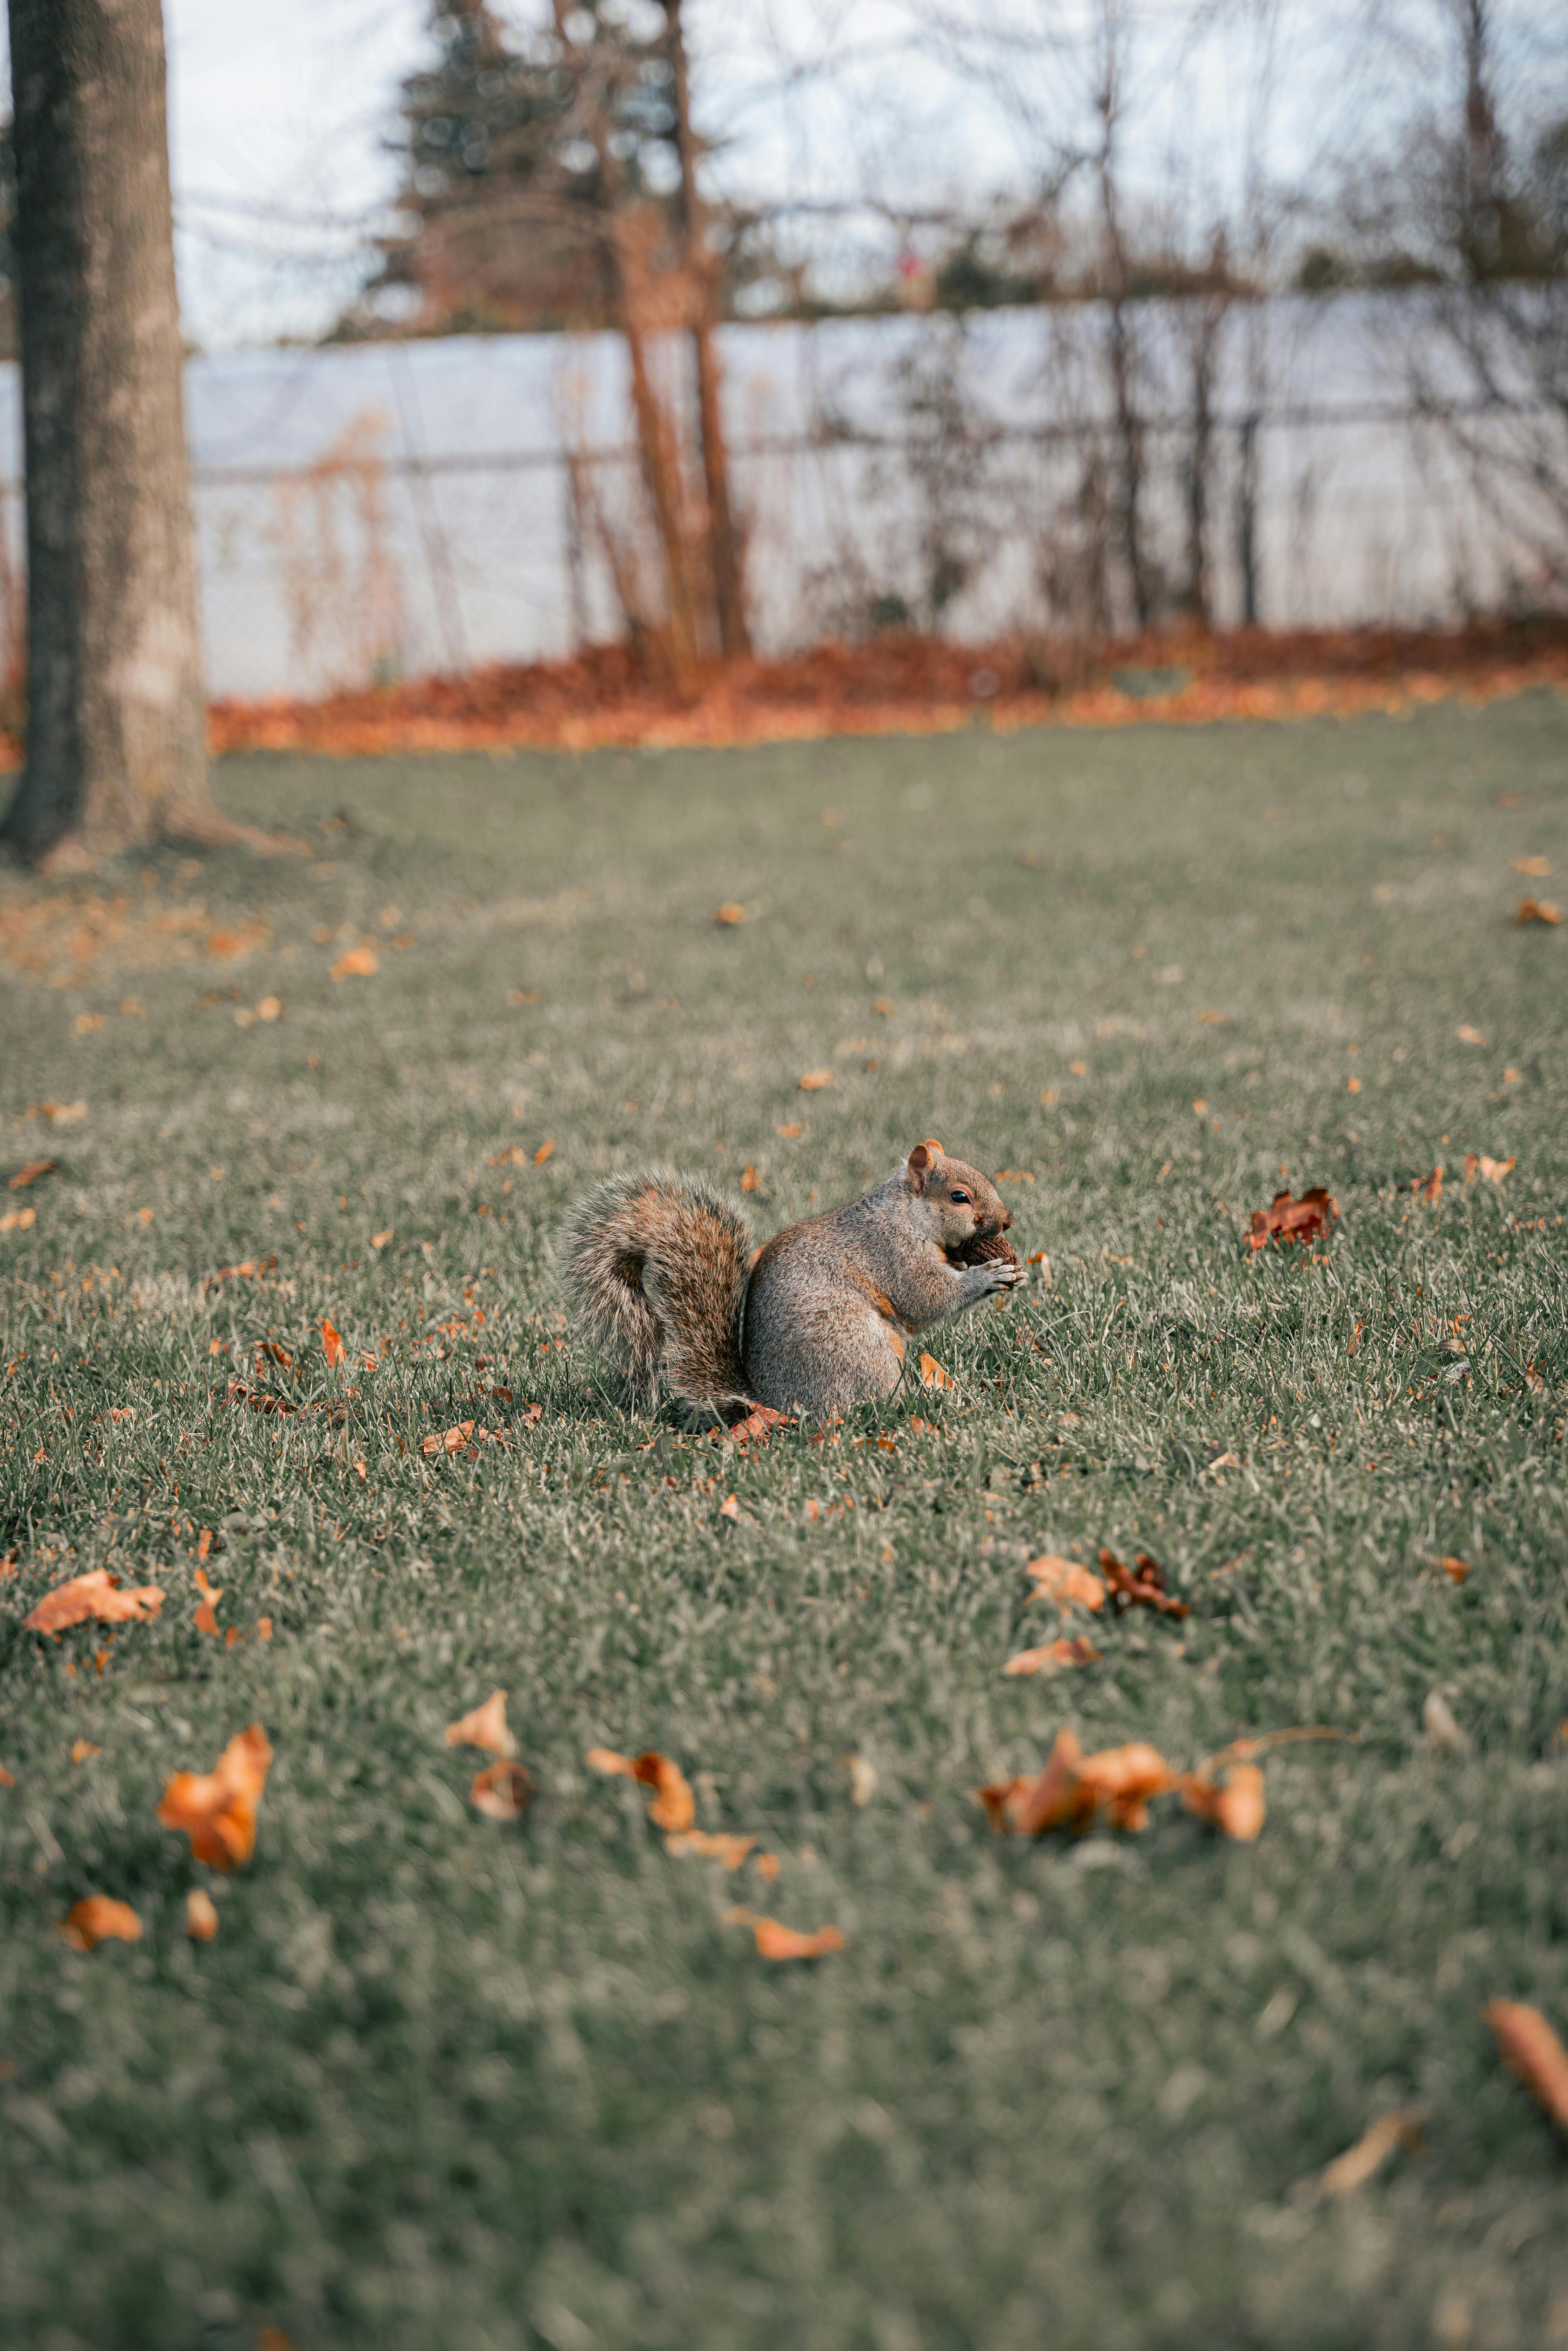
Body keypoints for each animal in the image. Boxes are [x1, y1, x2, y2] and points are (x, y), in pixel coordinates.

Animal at [560, 1139, 1025, 1425]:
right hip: (860, 1350)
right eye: (959, 1197)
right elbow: (926, 1296)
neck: (907, 1214)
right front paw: (989, 1275)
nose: (1007, 1221)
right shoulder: (891, 1251)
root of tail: (769, 1402)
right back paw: (919, 1400)